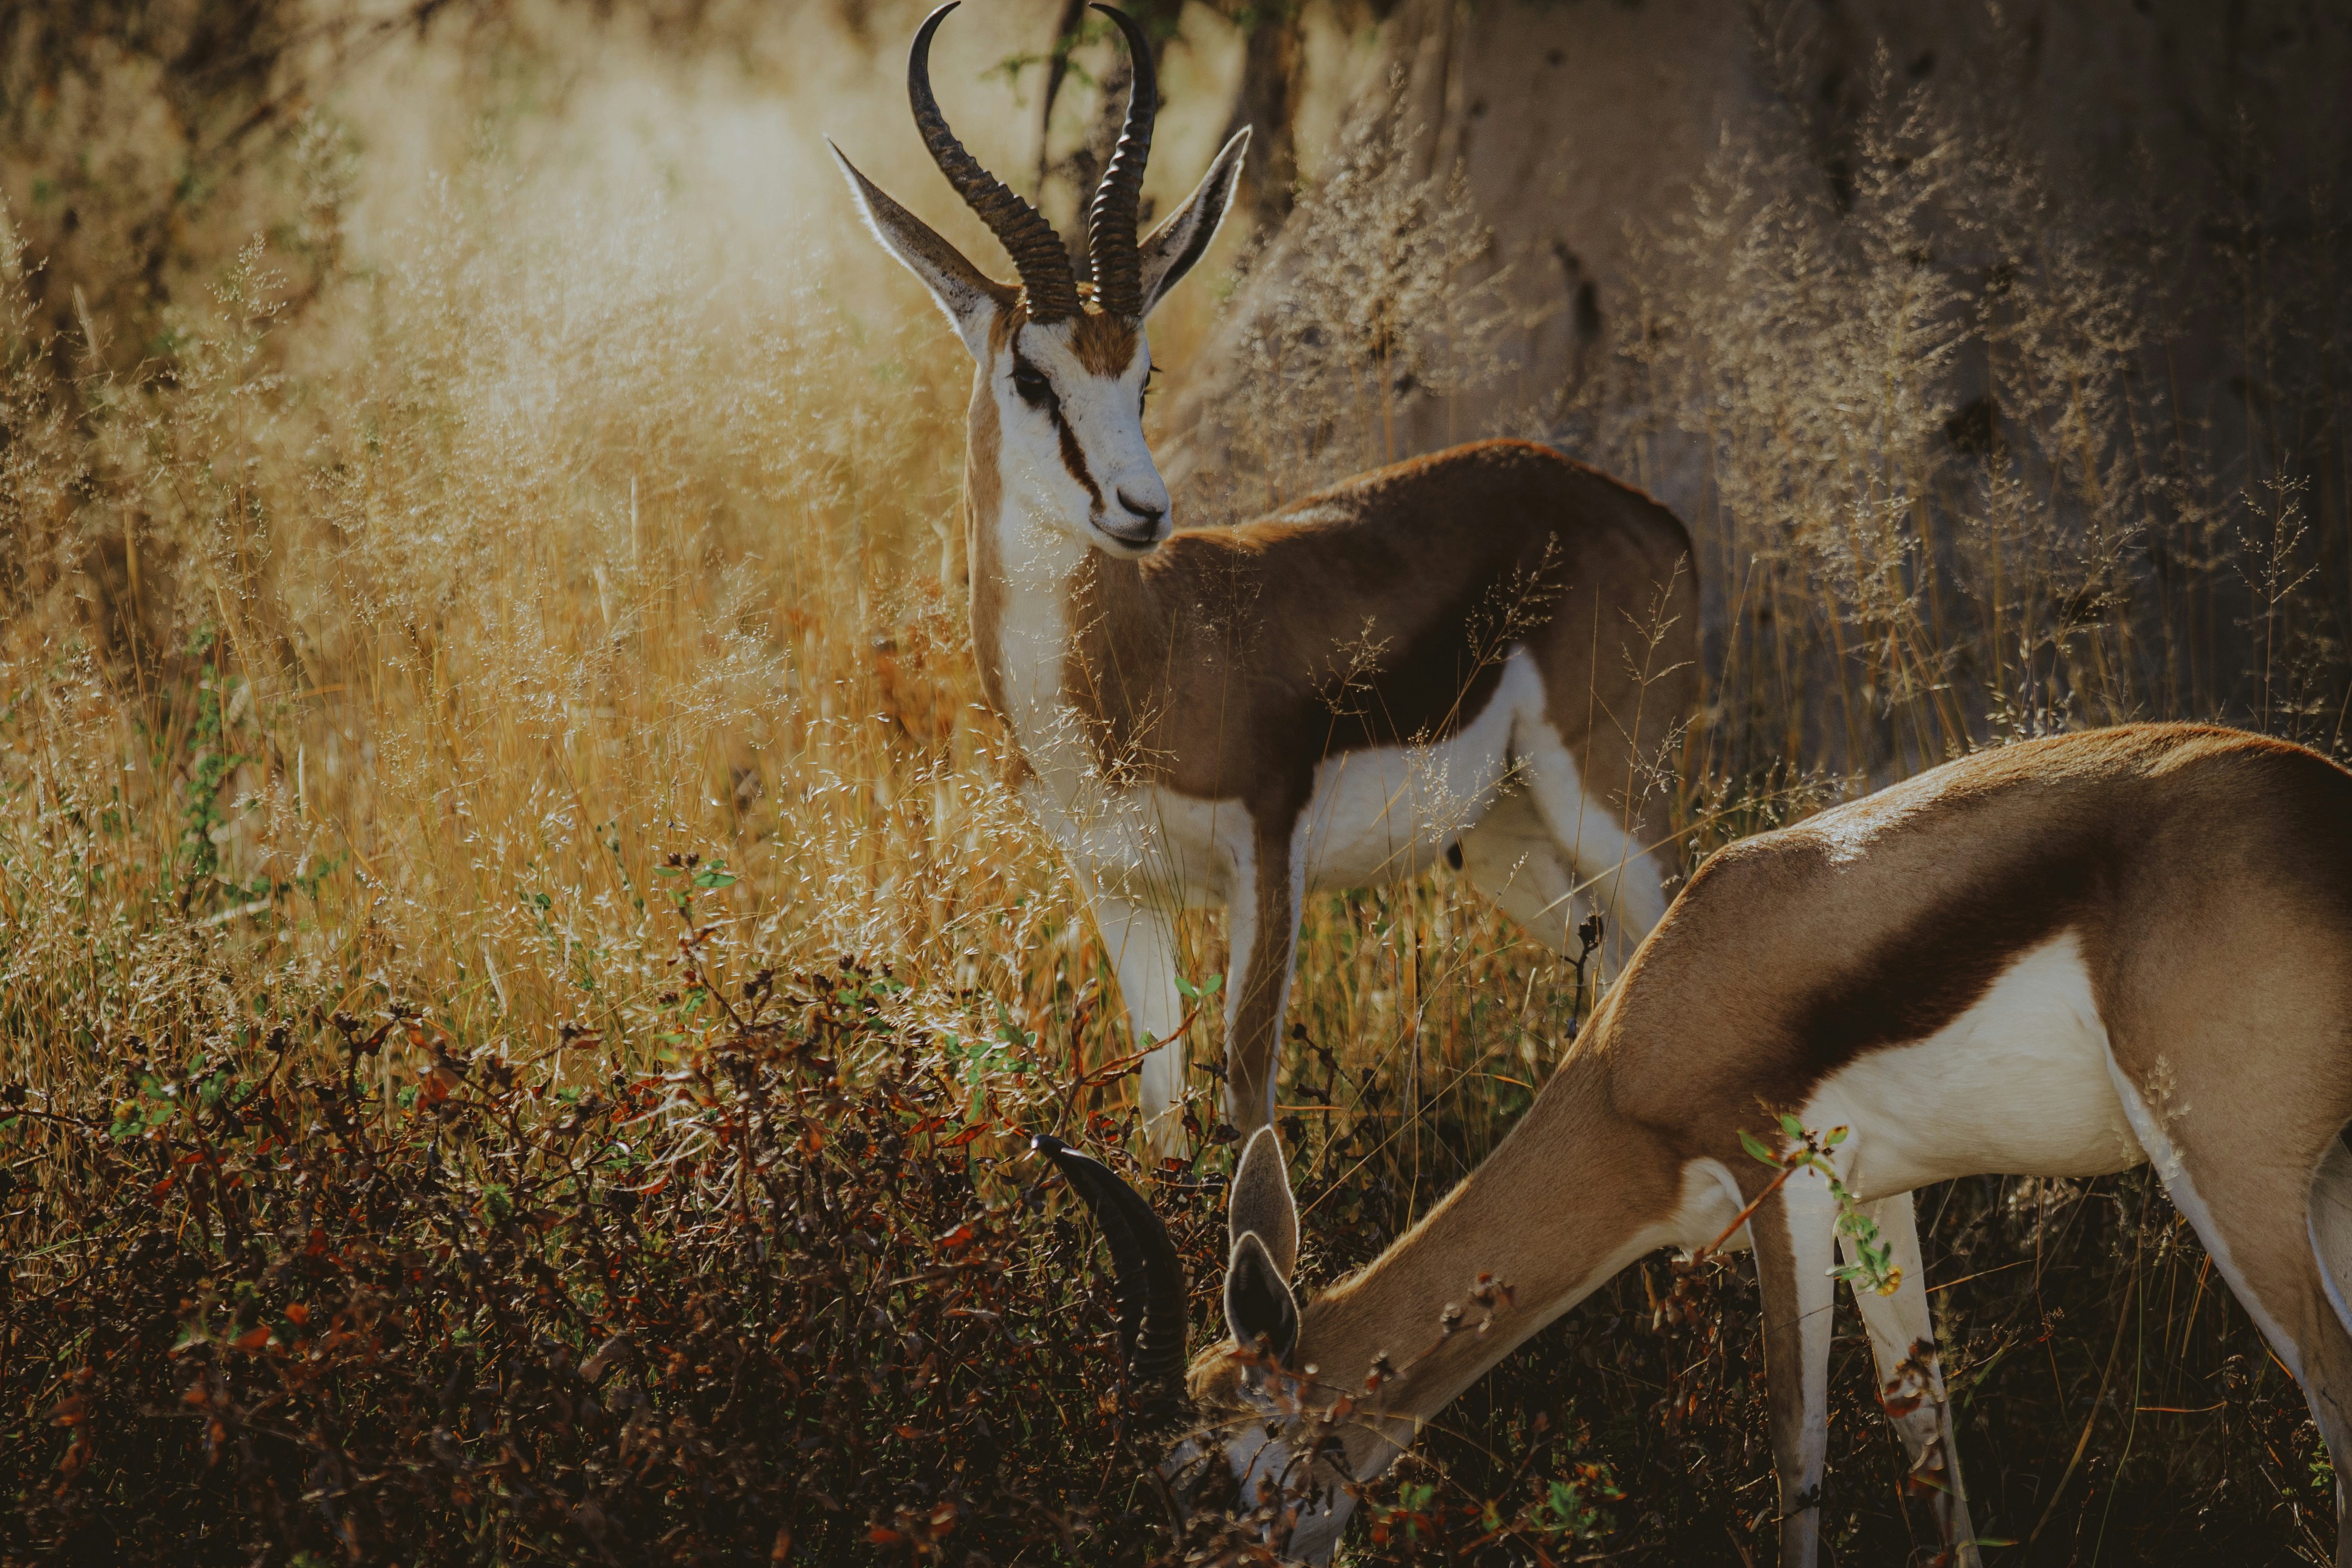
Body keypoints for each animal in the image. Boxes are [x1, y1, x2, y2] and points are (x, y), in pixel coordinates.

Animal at [832, 4, 1698, 1154]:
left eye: (1142, 371)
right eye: (1031, 376)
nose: (1144, 510)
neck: (1135, 668)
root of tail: (1639, 510)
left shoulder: (1265, 865)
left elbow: (1247, 1102)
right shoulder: (1120, 890)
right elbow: (1162, 1108)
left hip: (1610, 800)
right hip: (1505, 840)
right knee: (1611, 977)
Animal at [1041, 723, 2352, 1566]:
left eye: (1200, 1468)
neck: (1644, 1032)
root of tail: (2322, 802)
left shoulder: (1781, 1186)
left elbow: (1795, 1461)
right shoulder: (1881, 1201)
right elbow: (1927, 1451)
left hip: (2228, 1176)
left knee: (2333, 1384)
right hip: (2329, 1186)